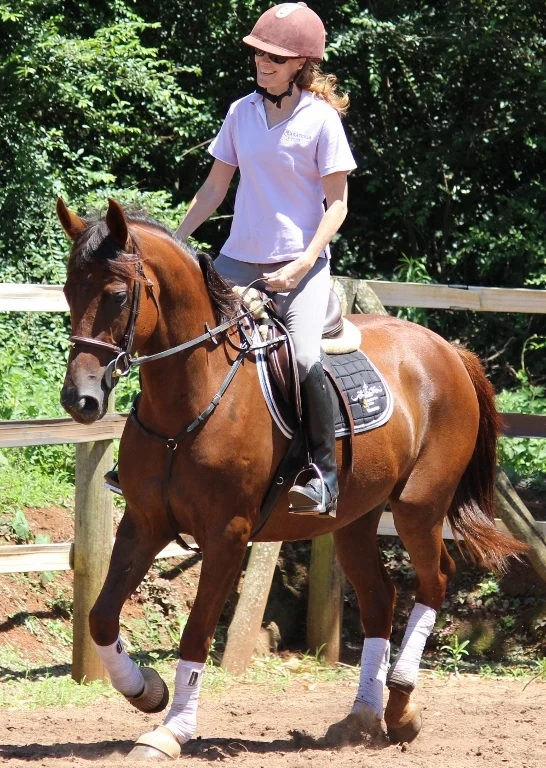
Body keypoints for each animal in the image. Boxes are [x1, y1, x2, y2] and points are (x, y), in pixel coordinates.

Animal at [57, 197, 523, 760]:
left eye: (117, 295)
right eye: (68, 290)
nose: (79, 400)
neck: (191, 397)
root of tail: (447, 348)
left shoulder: (228, 535)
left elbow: (196, 633)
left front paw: (170, 732)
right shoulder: (145, 523)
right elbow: (101, 617)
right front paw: (146, 690)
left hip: (419, 507)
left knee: (434, 583)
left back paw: (400, 708)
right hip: (356, 518)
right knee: (379, 598)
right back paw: (361, 716)